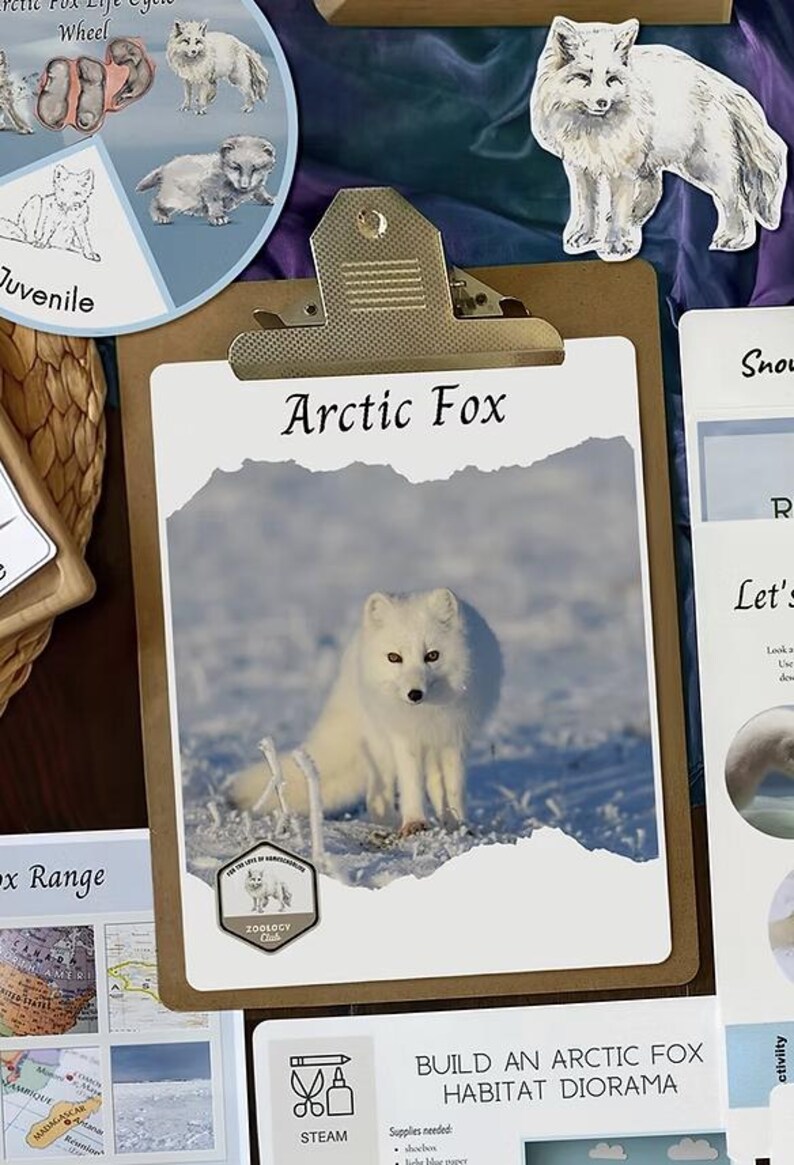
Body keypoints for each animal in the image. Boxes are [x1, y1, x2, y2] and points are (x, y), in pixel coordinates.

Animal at [227, 588, 503, 836]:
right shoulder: (403, 738)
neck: (426, 717)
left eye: (432, 655)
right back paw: (389, 822)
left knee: (433, 785)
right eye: (394, 657)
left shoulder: (454, 738)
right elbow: (411, 783)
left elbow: (453, 788)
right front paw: (414, 823)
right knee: (375, 796)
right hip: (380, 745)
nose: (414, 694)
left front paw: (459, 825)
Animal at [530, 17, 787, 262]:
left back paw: (732, 238)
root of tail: (717, 81)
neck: (594, 130)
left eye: (611, 79)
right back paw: (631, 218)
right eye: (583, 77)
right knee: (654, 189)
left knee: (735, 198)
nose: (602, 102)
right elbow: (587, 206)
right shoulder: (582, 168)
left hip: (704, 166)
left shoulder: (622, 170)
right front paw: (587, 236)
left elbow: (617, 205)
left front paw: (616, 244)